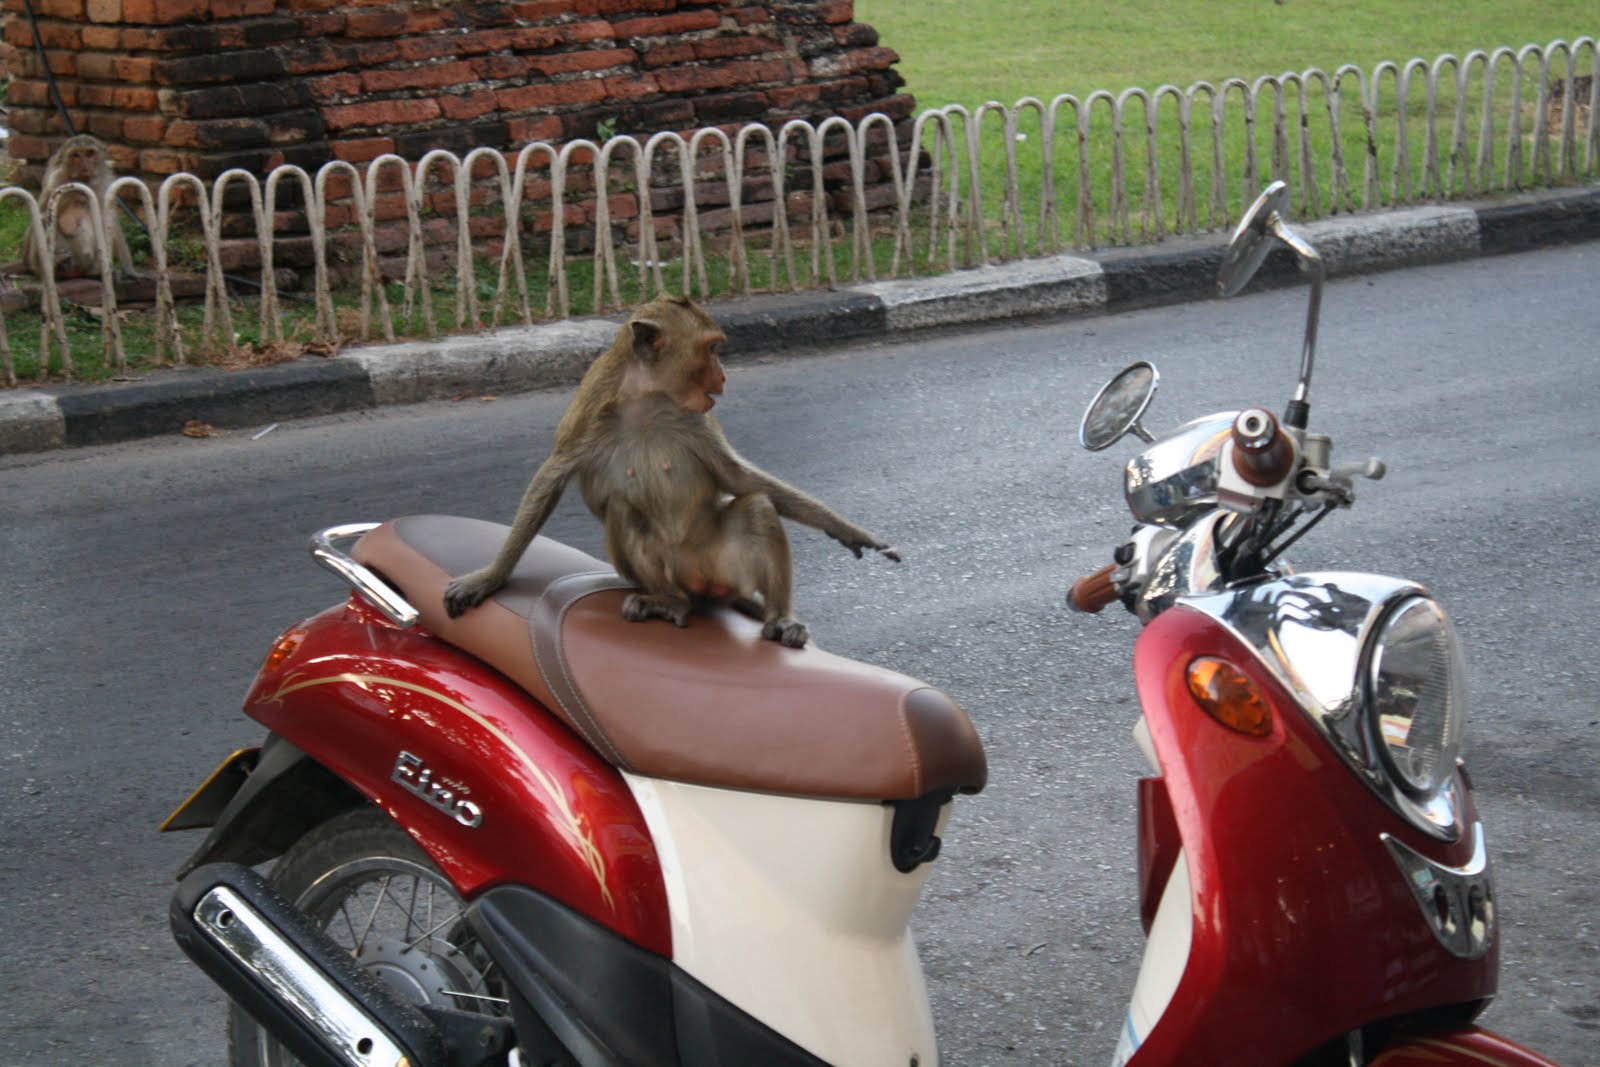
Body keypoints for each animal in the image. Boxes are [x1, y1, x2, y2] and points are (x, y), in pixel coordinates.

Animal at [22, 135, 135, 280]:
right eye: (76, 155)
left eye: (89, 153)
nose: (85, 166)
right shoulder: (55, 182)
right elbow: (41, 216)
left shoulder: (105, 185)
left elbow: (111, 222)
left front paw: (128, 269)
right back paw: (53, 266)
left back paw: (96, 272)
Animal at [443, 293, 899, 648]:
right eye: (712, 349)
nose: (724, 375)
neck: (646, 400)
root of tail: (703, 585)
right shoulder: (588, 413)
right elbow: (550, 480)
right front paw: (490, 577)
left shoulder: (697, 420)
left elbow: (739, 479)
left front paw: (846, 530)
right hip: (668, 572)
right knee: (624, 509)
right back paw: (671, 601)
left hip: (727, 567)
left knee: (756, 506)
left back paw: (780, 616)